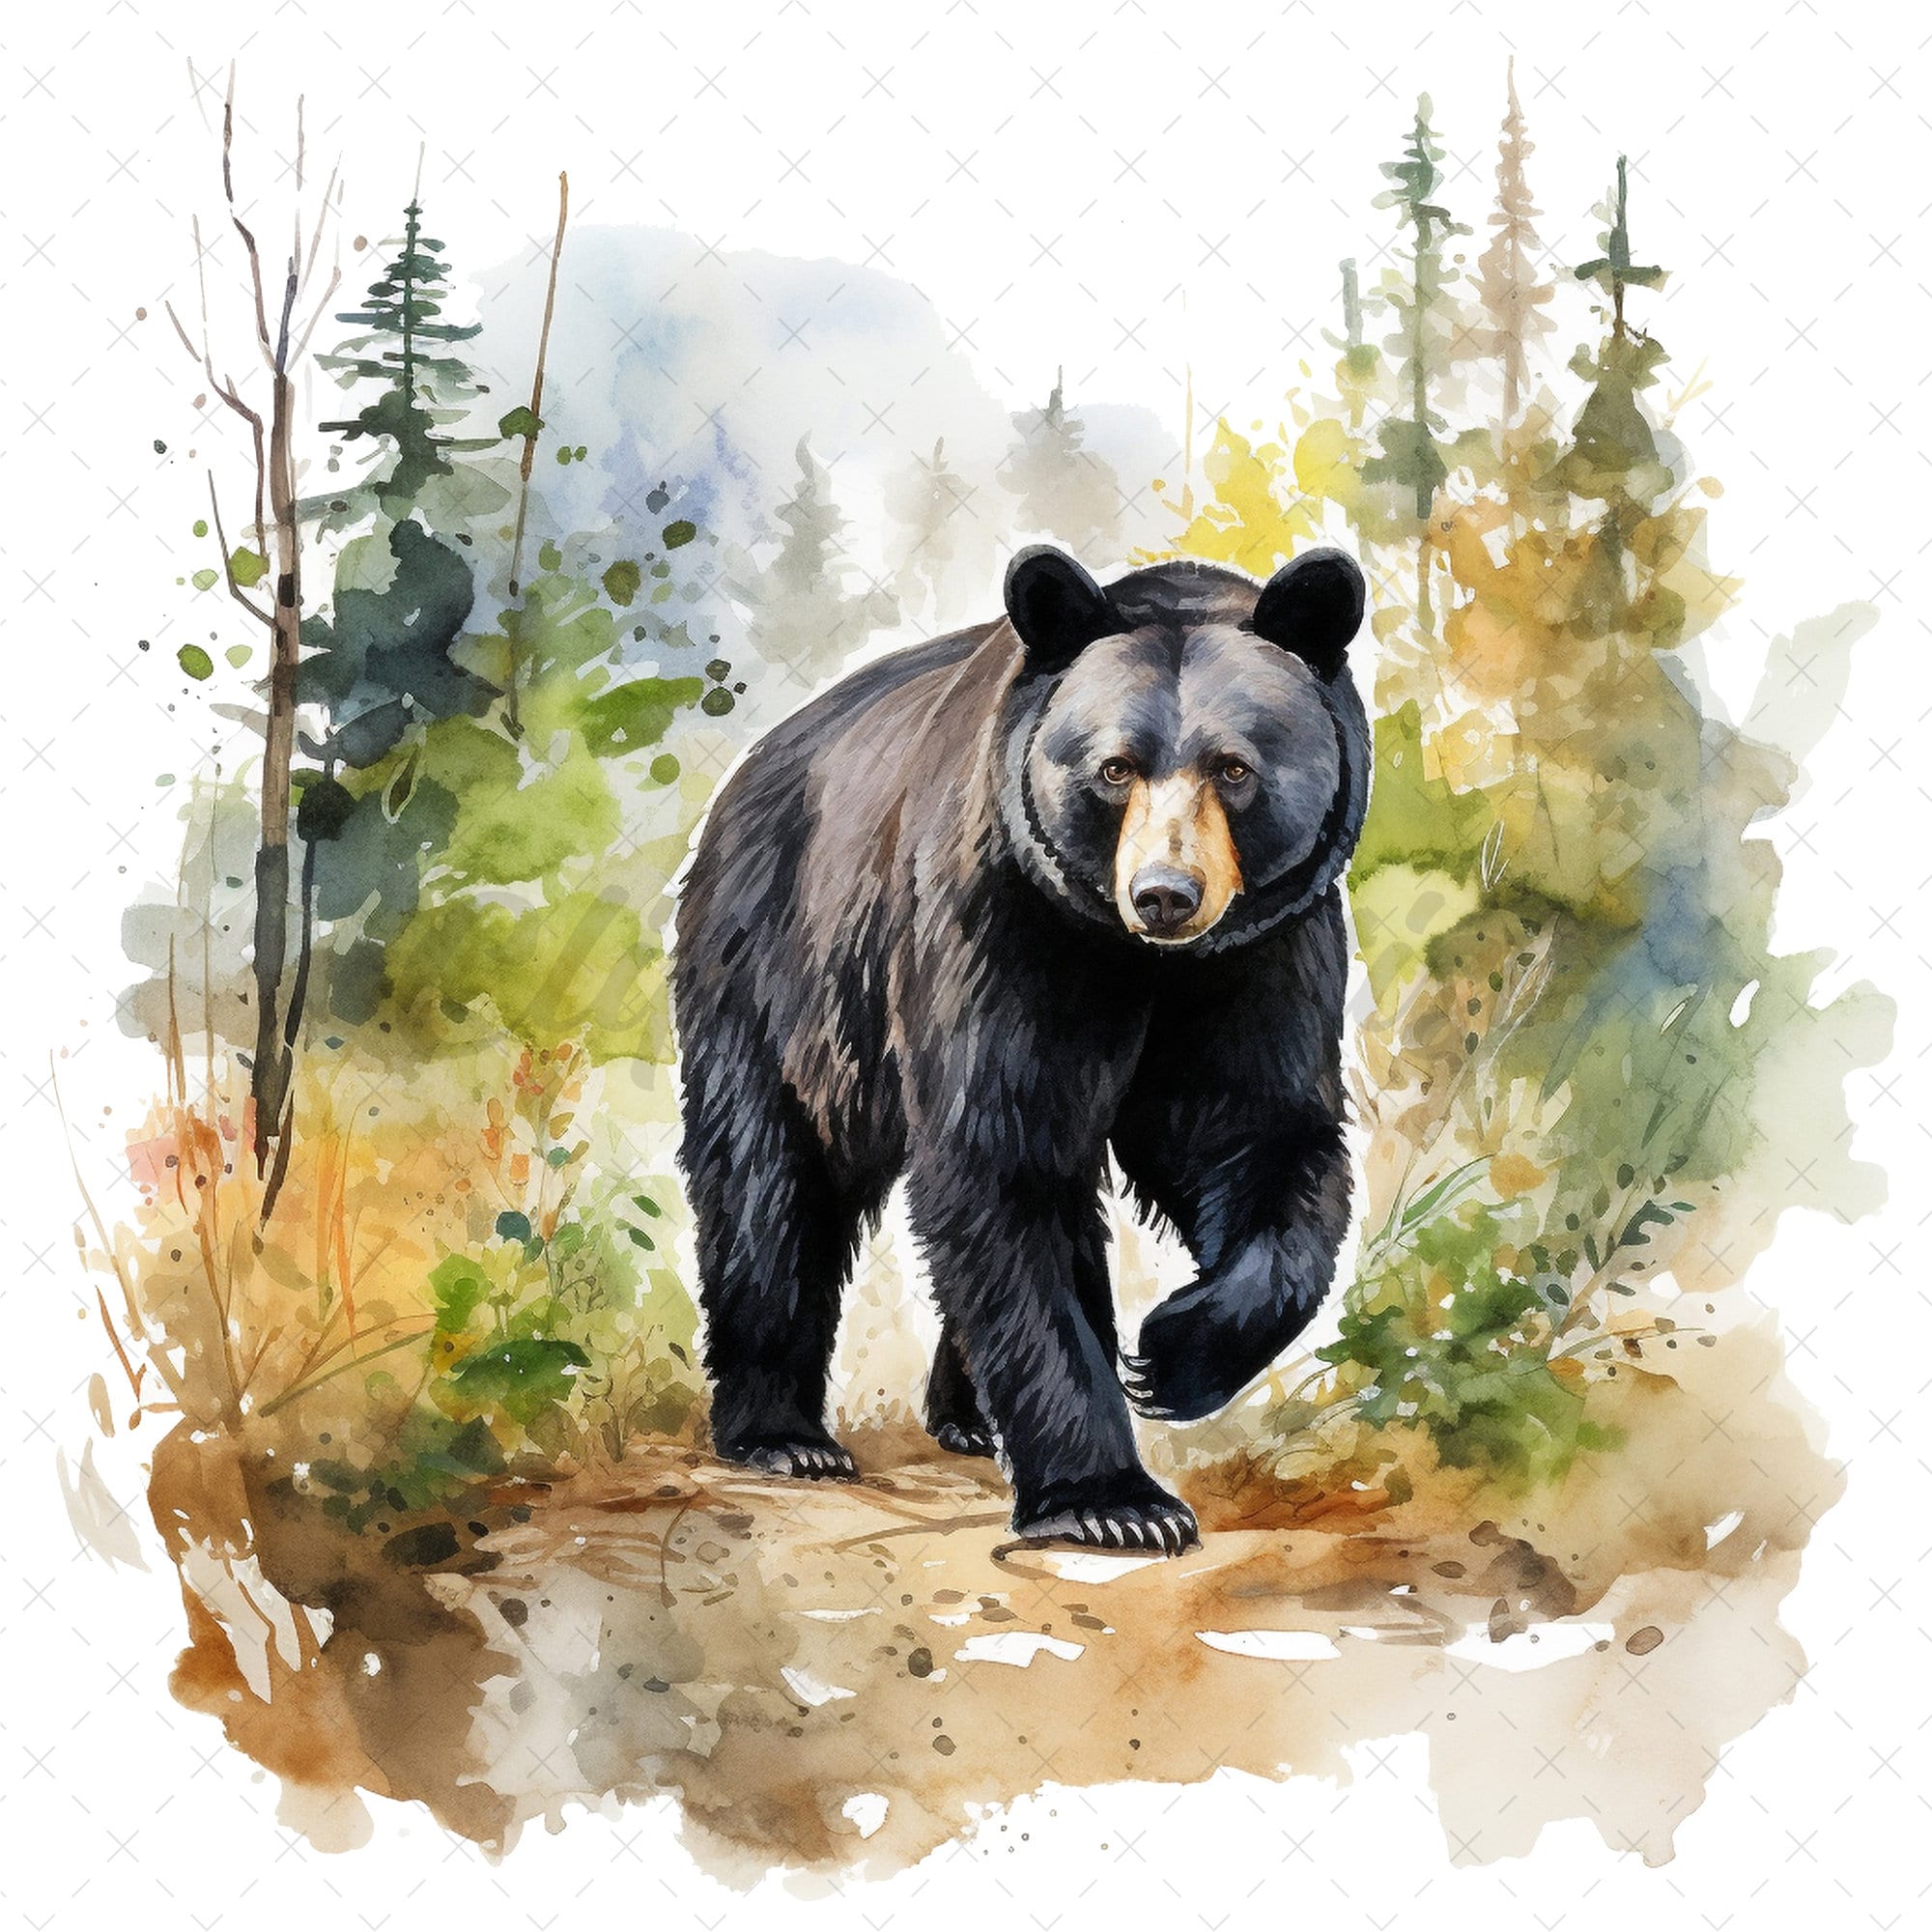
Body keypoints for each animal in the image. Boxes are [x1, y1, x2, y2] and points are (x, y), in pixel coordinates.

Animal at [671, 543, 1370, 1553]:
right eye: (1115, 767)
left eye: (1235, 768)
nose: (1165, 893)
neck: (1138, 961)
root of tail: (749, 768)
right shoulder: (1001, 920)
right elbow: (1002, 1159)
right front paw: (1114, 1501)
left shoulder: (1264, 951)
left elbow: (1260, 1135)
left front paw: (1171, 1352)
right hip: (777, 968)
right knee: (770, 1182)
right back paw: (783, 1435)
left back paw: (964, 1414)